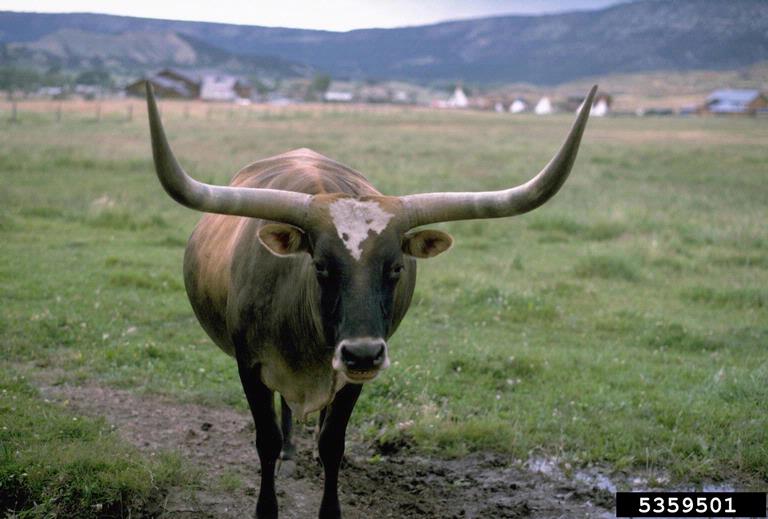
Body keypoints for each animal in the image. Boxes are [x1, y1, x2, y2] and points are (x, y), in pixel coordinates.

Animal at [145, 82, 596, 519]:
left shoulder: (351, 380)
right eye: (321, 266)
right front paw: (267, 503)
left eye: (395, 267)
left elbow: (332, 443)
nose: (362, 353)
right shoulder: (250, 366)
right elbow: (266, 441)